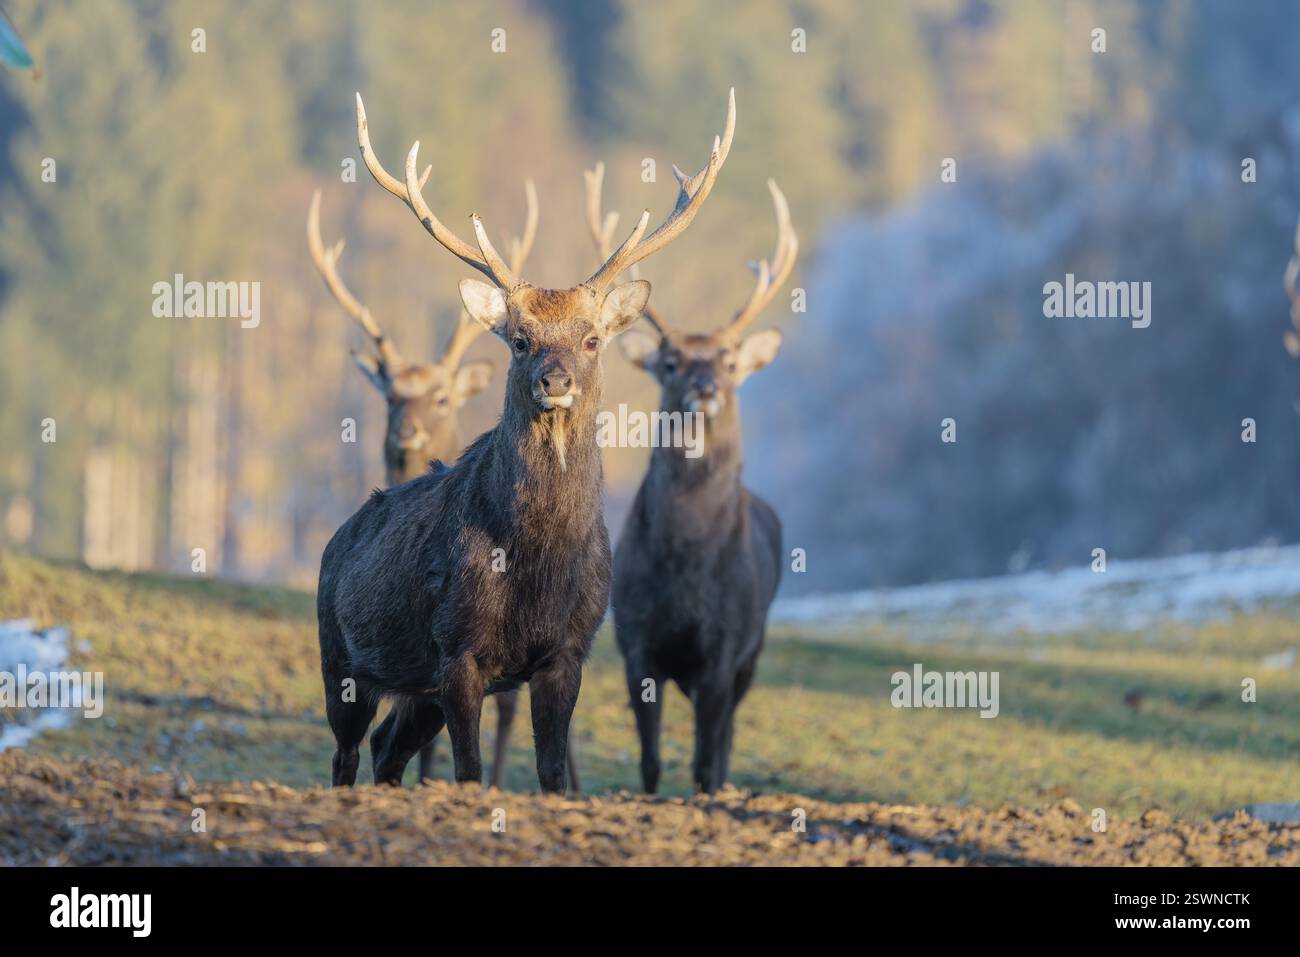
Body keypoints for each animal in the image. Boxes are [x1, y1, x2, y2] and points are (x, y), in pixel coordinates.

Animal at [600, 172, 797, 794]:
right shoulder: (635, 640)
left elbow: (707, 760)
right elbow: (651, 761)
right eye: (670, 361)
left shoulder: (725, 647)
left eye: (730, 361)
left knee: (727, 738)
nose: (705, 386)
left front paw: (710, 792)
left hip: (755, 648)